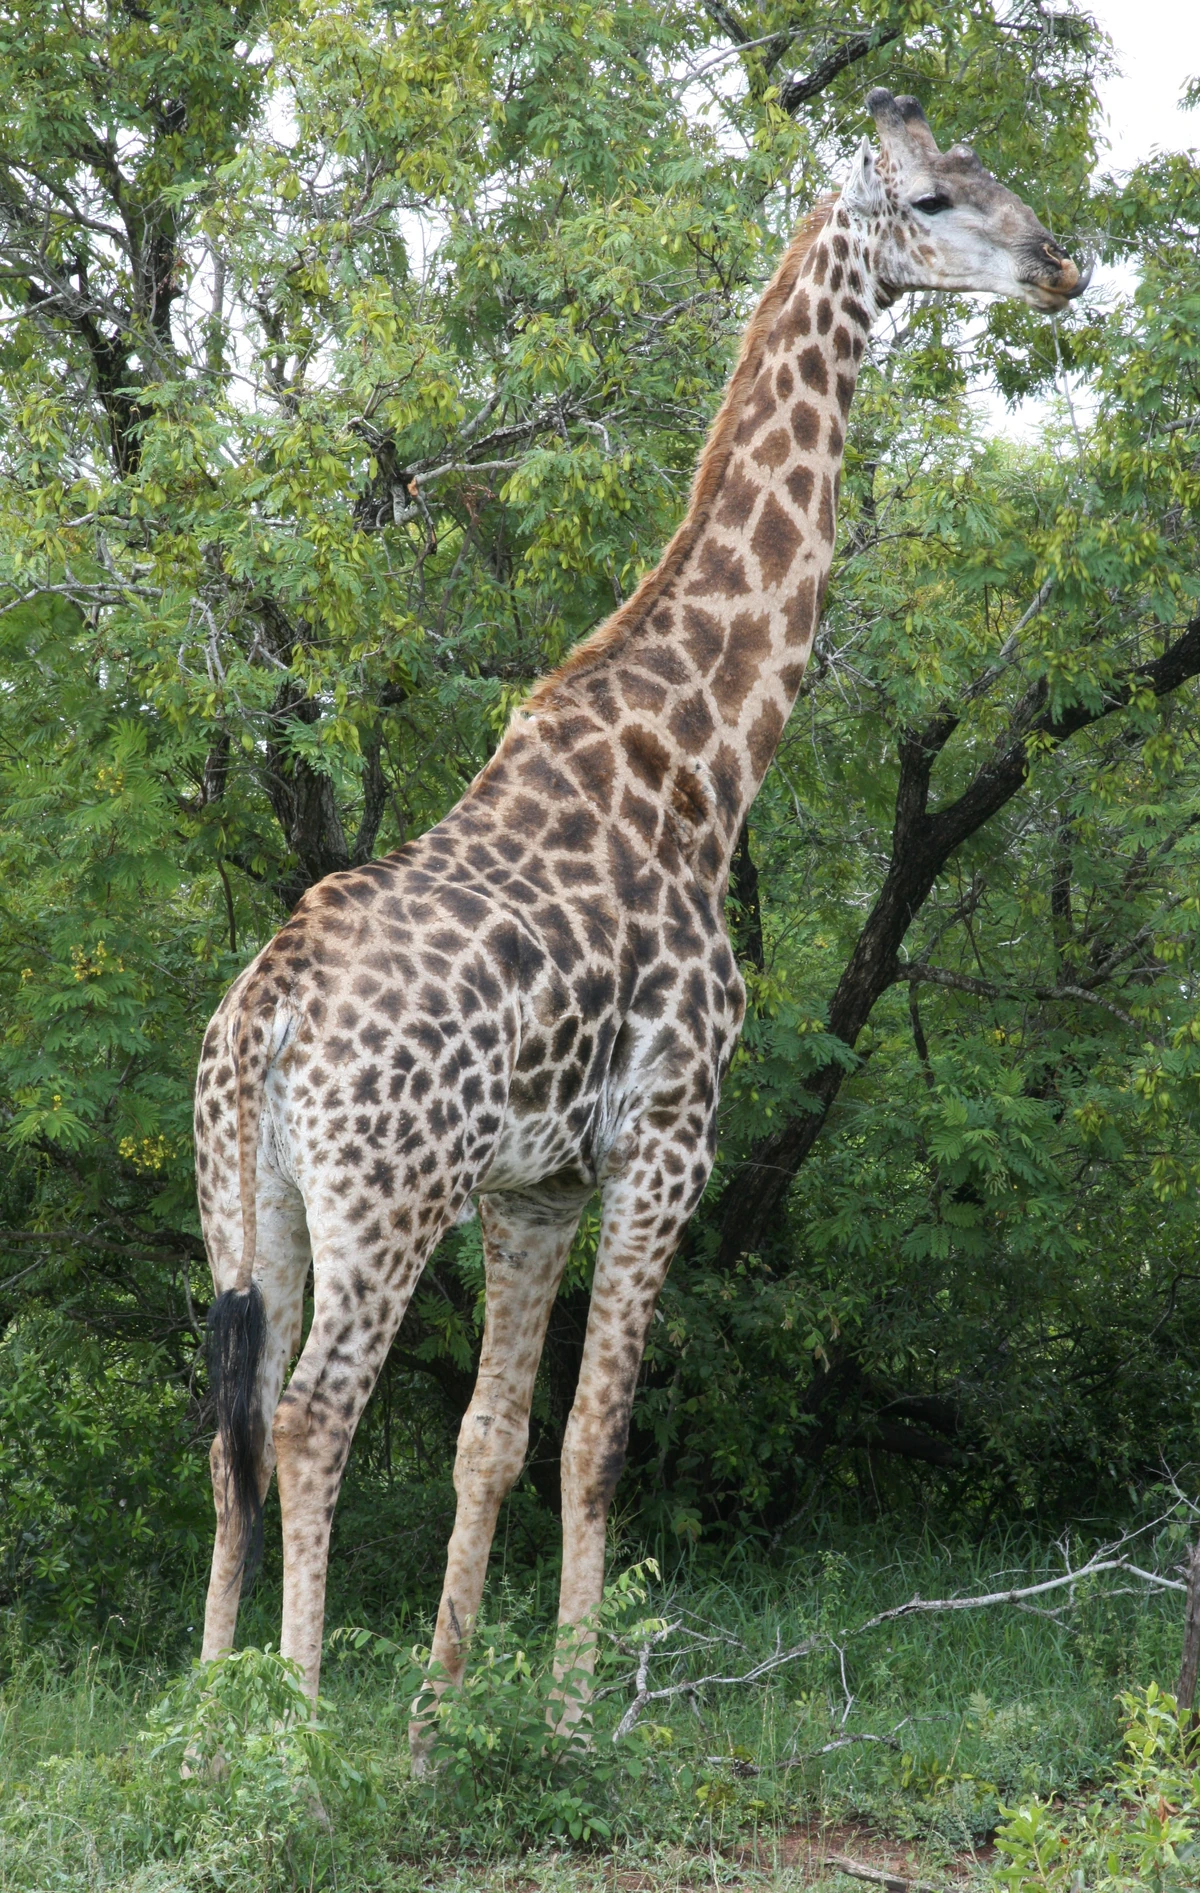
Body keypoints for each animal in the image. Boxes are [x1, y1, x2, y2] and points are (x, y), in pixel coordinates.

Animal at [194, 89, 1087, 1751]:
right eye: (938, 198)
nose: (1062, 266)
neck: (703, 760)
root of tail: (266, 1013)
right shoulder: (671, 1134)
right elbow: (597, 1439)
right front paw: (566, 1723)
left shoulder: (537, 1180)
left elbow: (490, 1436)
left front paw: (442, 1722)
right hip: (387, 1193)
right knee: (313, 1413)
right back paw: (294, 1736)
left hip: (250, 1194)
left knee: (234, 1412)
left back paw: (212, 1729)